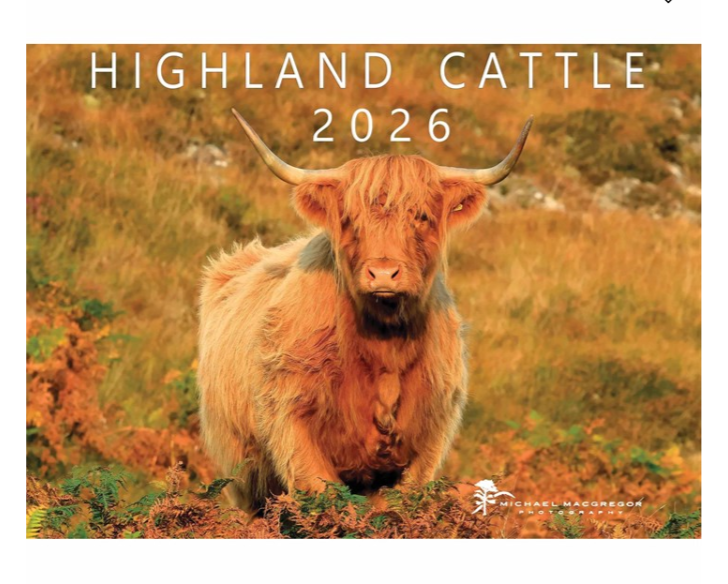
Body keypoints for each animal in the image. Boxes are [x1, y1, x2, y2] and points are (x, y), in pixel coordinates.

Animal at [197, 109, 532, 512]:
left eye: (421, 216)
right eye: (350, 220)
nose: (383, 273)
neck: (384, 342)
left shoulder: (427, 443)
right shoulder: (293, 425)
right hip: (244, 475)